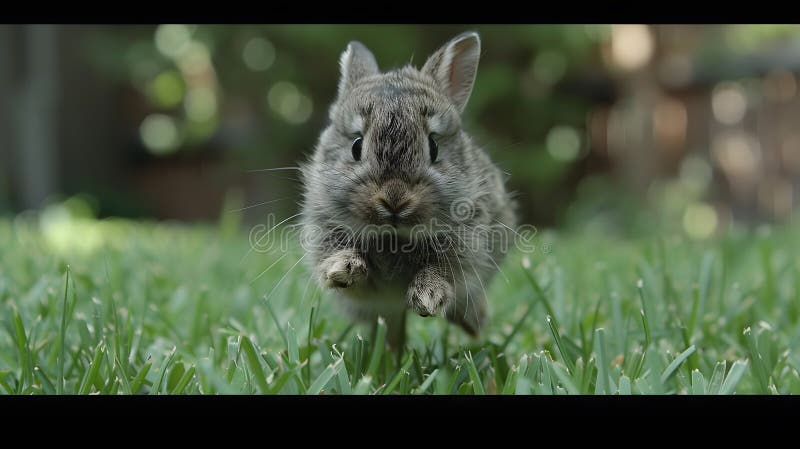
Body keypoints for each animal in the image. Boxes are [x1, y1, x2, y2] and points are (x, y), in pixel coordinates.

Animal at [298, 31, 517, 350]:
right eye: (356, 146)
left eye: (434, 146)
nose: (394, 199)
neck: (394, 236)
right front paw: (342, 269)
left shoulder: (466, 246)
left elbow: (444, 272)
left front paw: (427, 297)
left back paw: (474, 325)